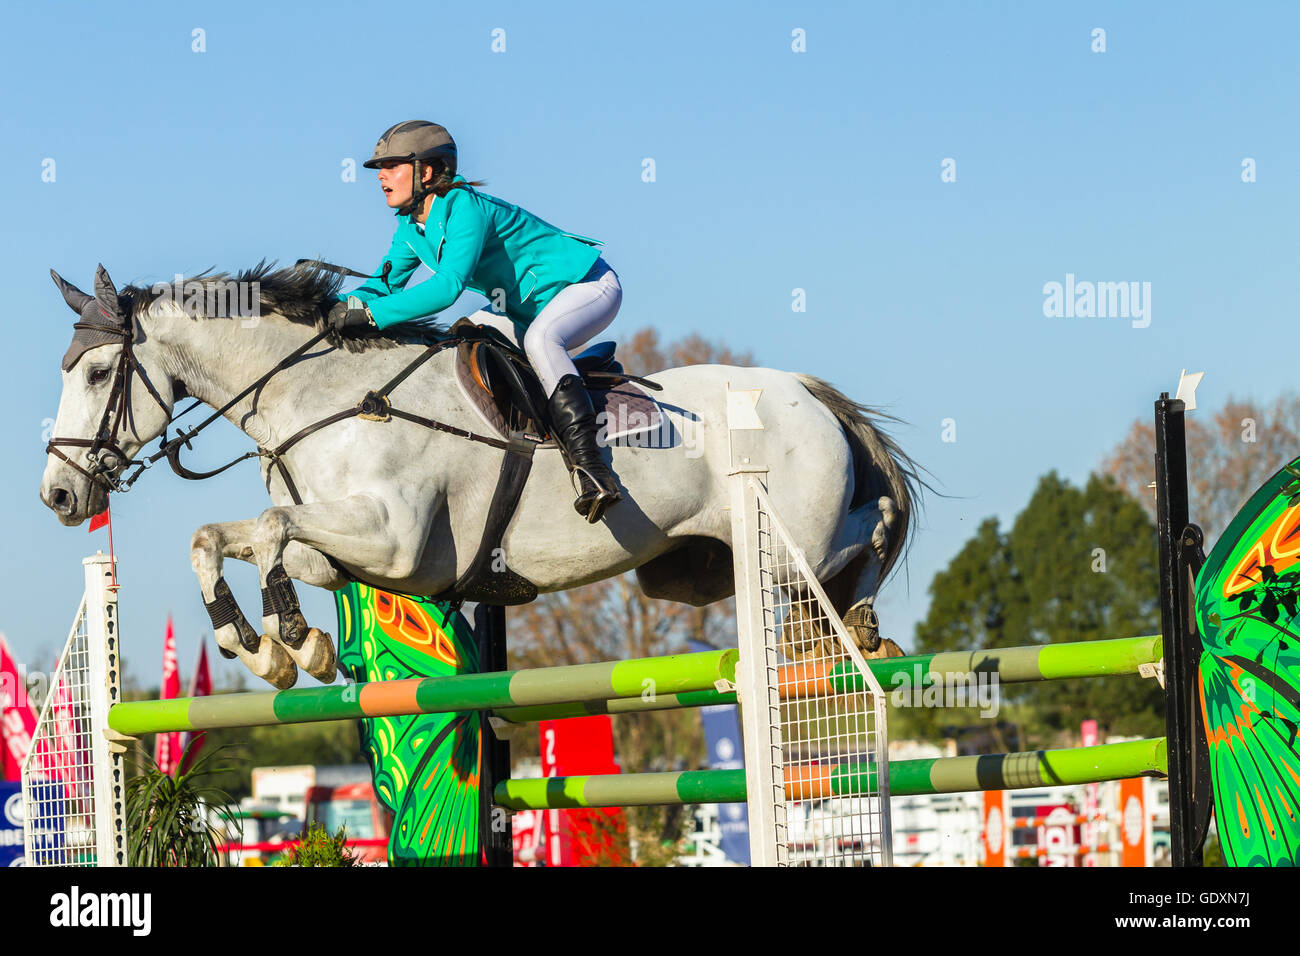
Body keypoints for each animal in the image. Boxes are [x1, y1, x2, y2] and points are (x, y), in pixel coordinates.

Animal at [40, 262, 921, 688]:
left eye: (96, 375)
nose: (58, 495)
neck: (323, 395)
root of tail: (803, 387)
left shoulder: (396, 541)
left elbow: (267, 529)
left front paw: (291, 641)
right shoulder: (356, 553)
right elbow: (226, 539)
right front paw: (267, 648)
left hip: (785, 543)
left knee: (858, 536)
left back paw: (868, 605)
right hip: (698, 573)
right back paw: (864, 625)